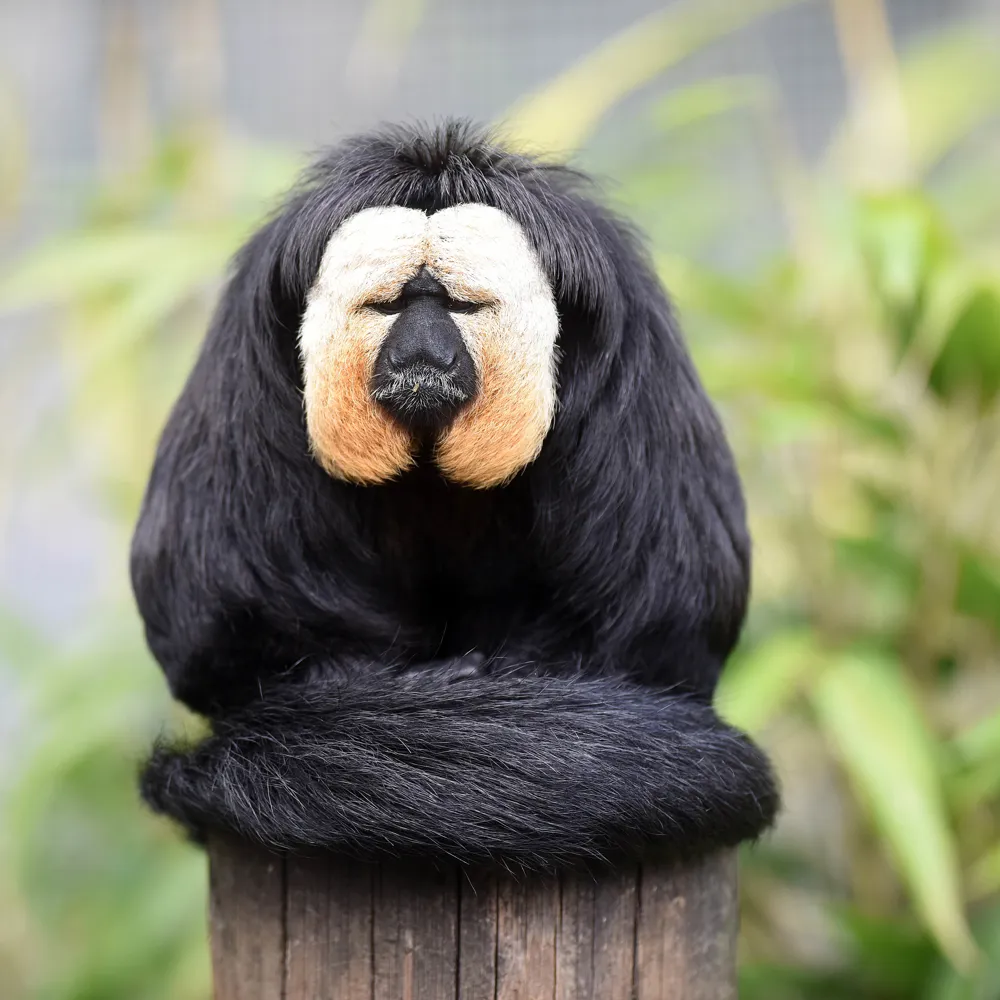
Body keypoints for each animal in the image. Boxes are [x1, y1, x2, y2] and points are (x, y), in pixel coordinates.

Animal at [135, 121, 778, 867]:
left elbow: (662, 623)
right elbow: (221, 629)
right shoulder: (252, 356)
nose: (425, 355)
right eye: (389, 306)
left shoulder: (627, 351)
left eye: (459, 306)